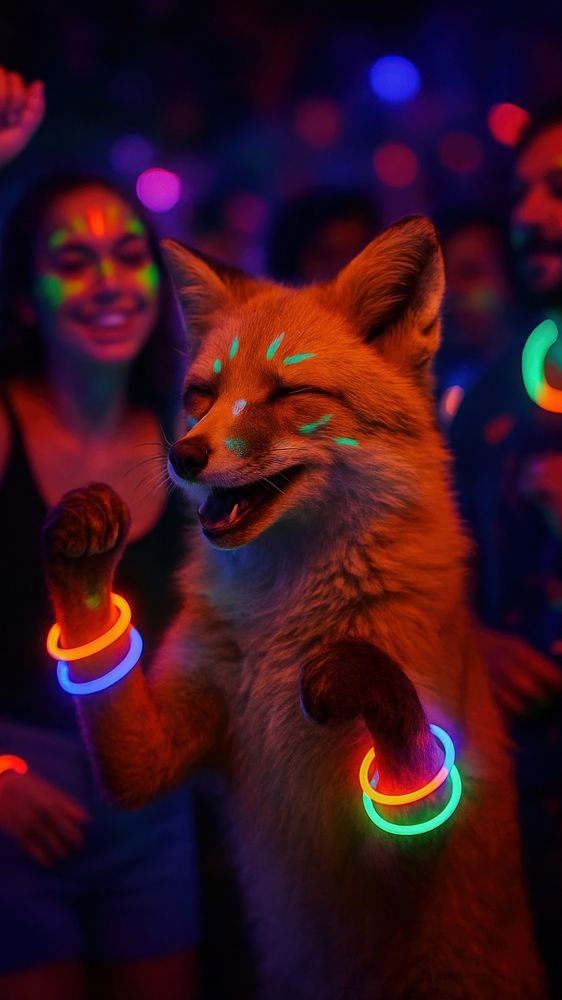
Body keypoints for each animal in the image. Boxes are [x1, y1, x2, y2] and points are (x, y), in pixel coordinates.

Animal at [42, 216, 545, 999]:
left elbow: (402, 734)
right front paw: (85, 567)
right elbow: (108, 688)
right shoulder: (162, 748)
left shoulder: (409, 847)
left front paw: (362, 674)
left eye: (287, 393)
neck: (286, 619)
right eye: (201, 395)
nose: (184, 457)